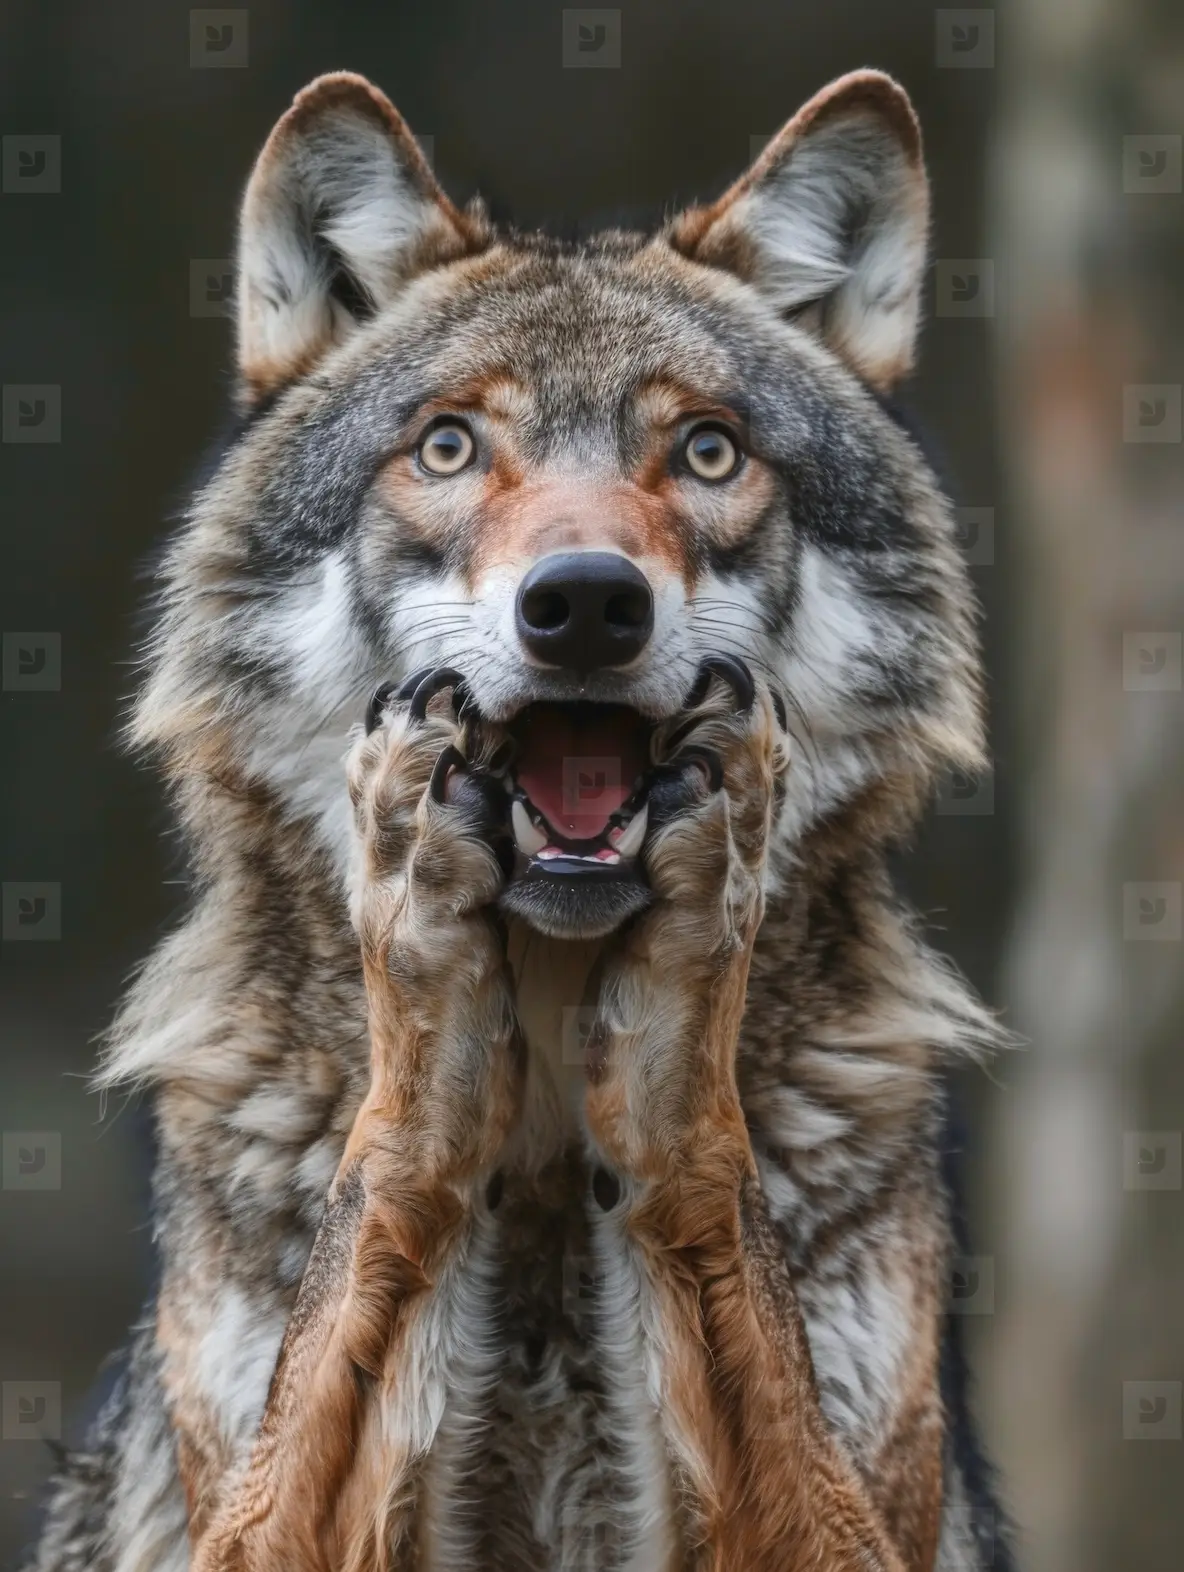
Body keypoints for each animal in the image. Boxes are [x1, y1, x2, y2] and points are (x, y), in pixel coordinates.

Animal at [26, 68, 1013, 1571]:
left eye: (707, 451)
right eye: (448, 445)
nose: (589, 602)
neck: (546, 1168)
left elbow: (702, 1163)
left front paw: (682, 991)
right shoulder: (245, 1507)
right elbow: (385, 1180)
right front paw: (420, 975)